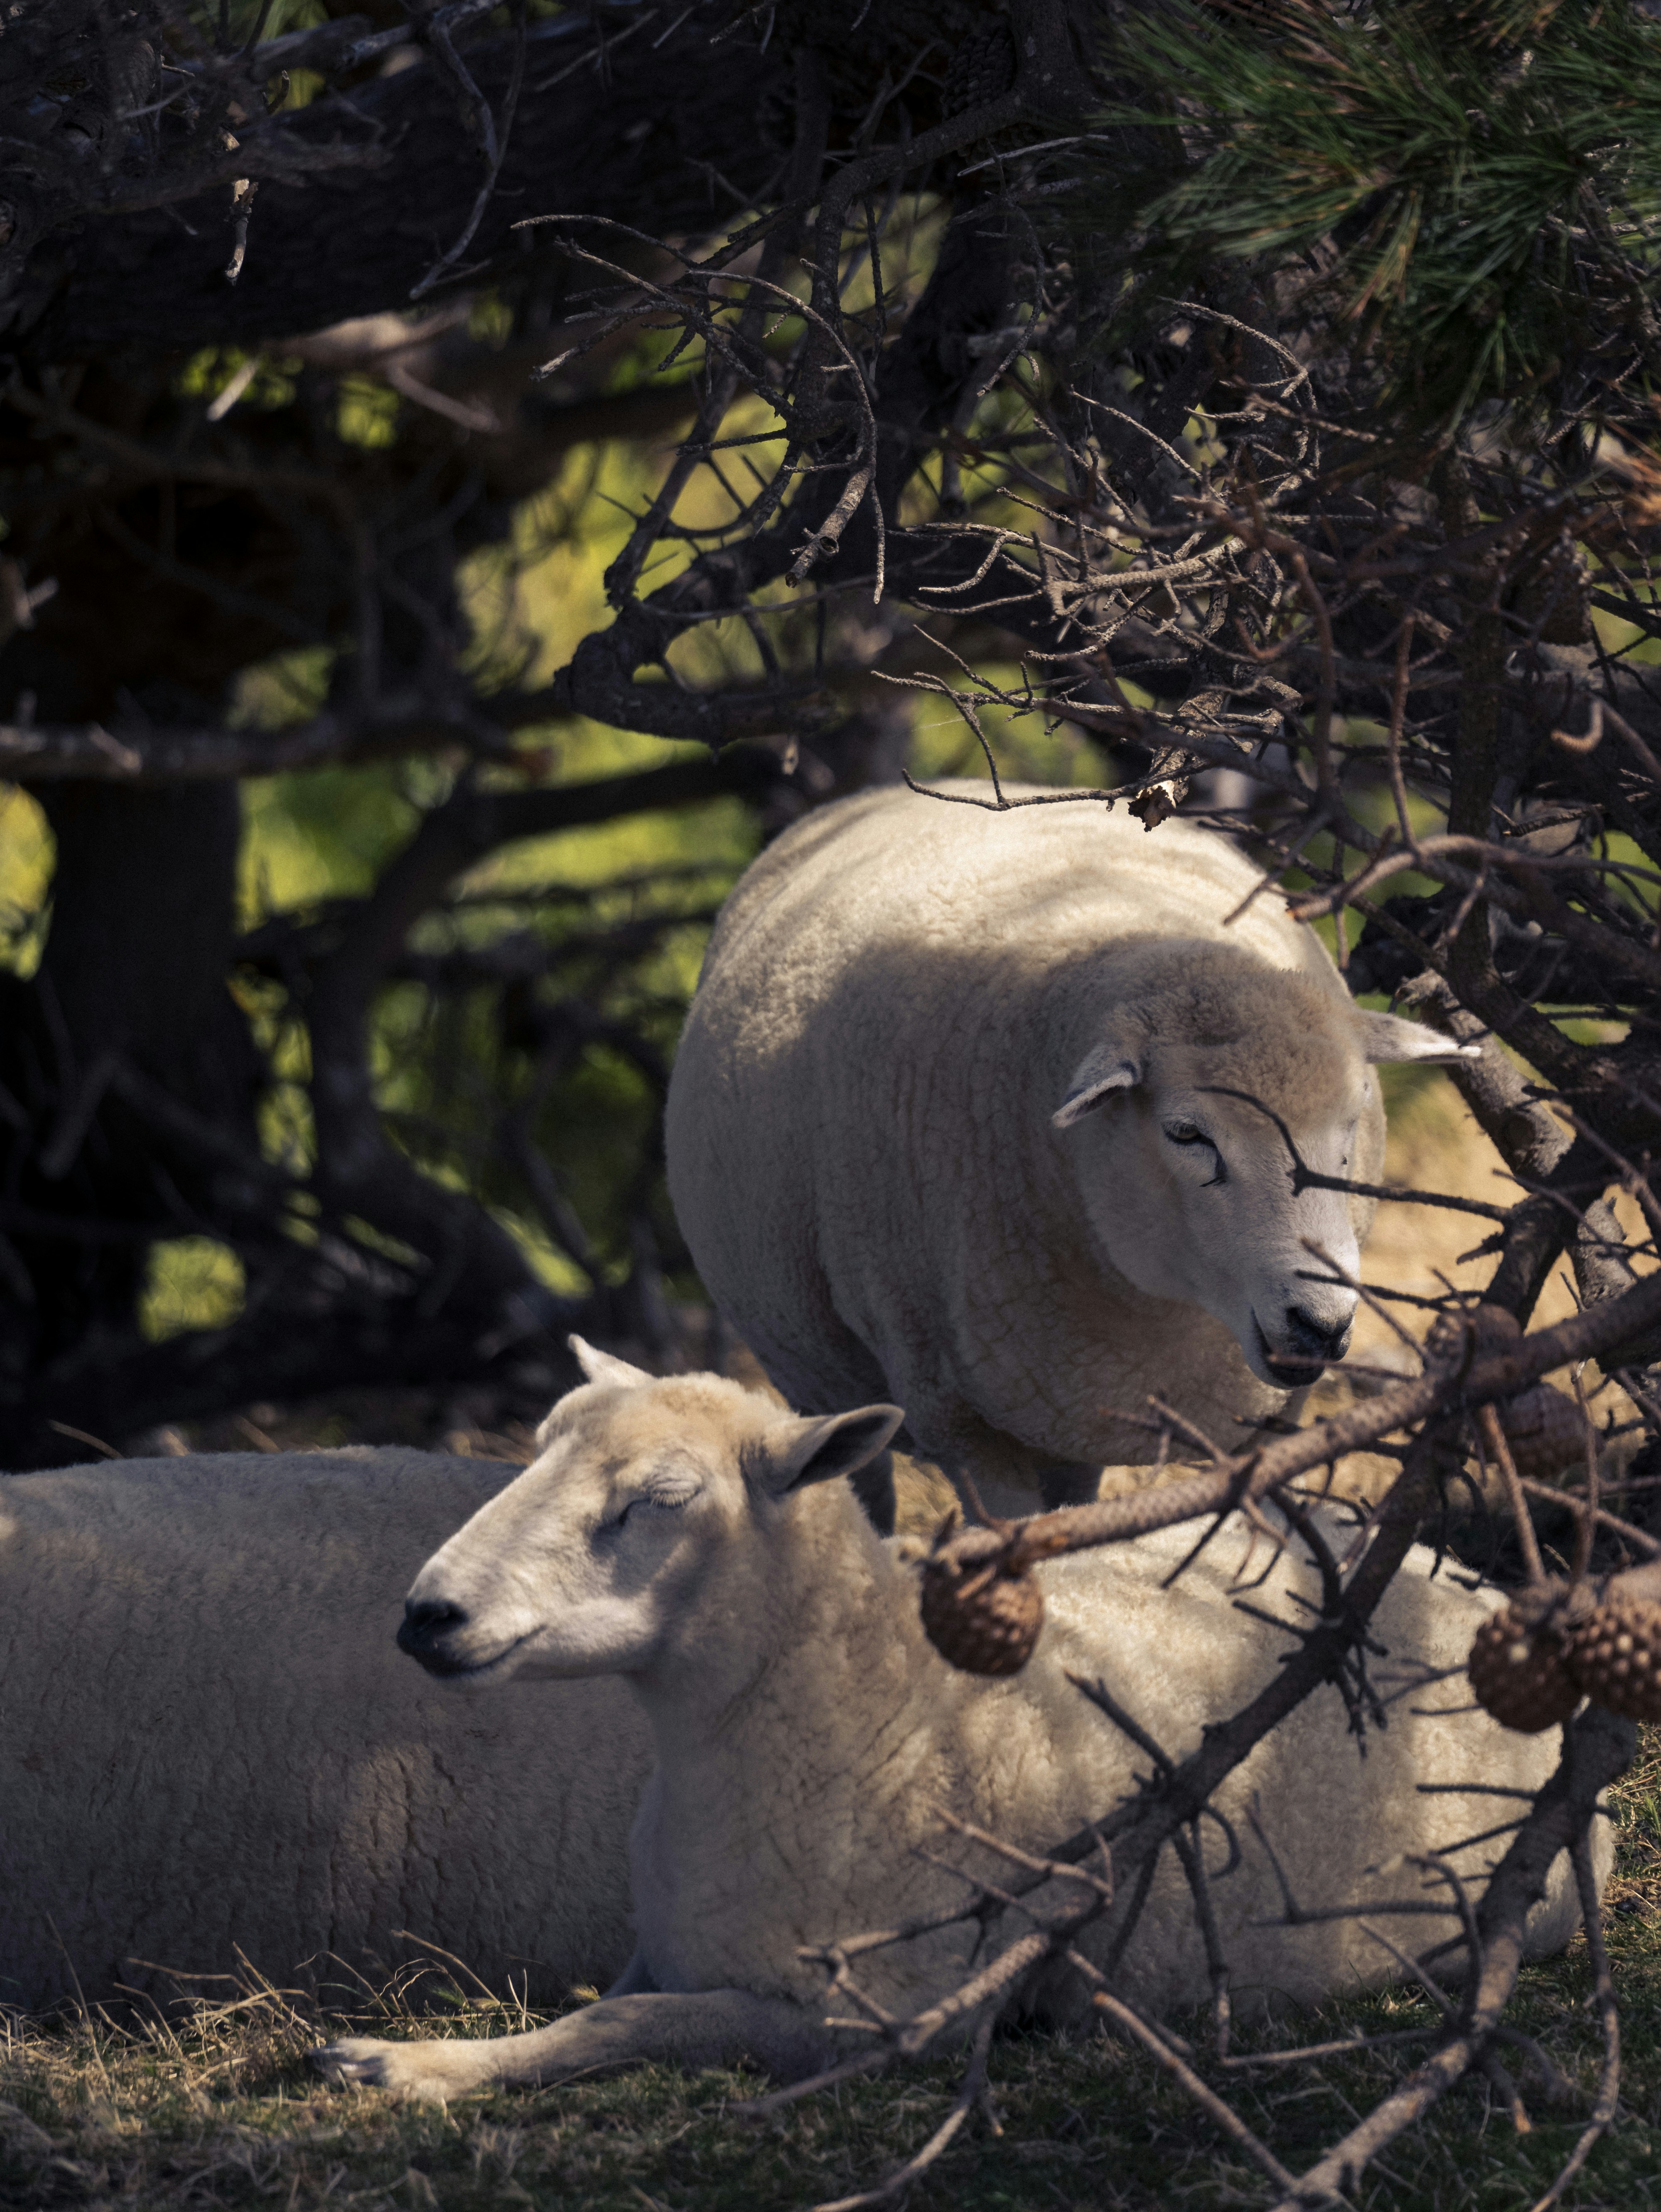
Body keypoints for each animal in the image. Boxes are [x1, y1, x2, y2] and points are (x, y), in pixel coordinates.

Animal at [315, 1345, 1600, 2100]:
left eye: (661, 1500)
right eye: (535, 1447)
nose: (427, 1616)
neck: (877, 1716)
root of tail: (1469, 1580)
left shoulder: (885, 2019)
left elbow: (634, 2025)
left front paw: (404, 2063)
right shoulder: (669, 1941)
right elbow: (608, 2003)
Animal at [664, 783, 1478, 1516]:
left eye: (1351, 1124)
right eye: (1186, 1133)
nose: (1321, 1324)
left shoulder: (1267, 1422)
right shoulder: (960, 1419)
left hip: (1066, 1416)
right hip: (819, 1379)